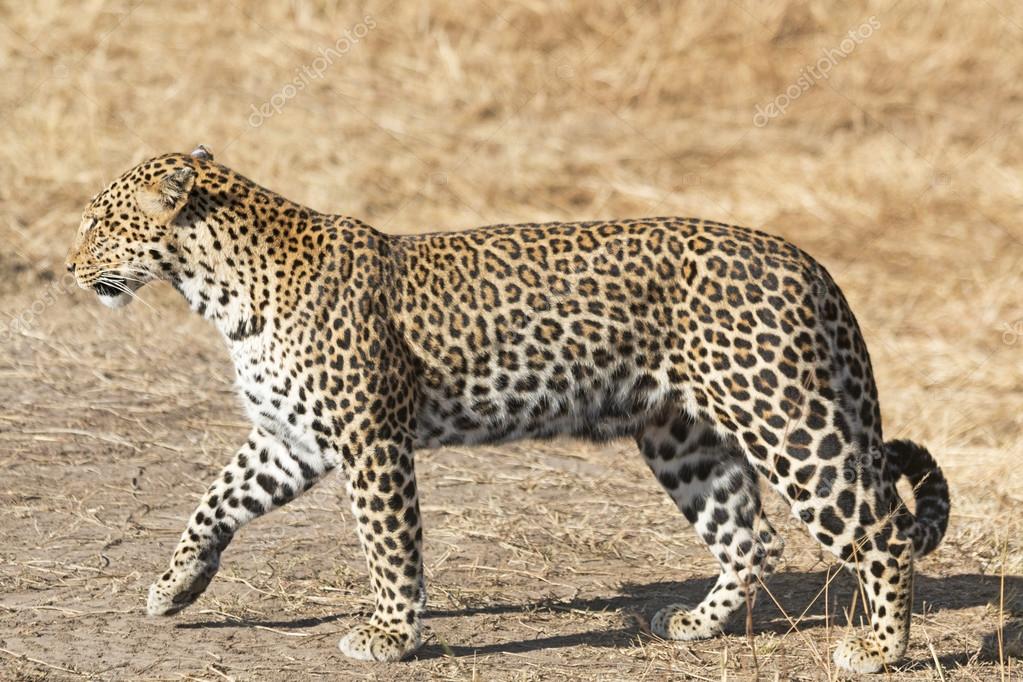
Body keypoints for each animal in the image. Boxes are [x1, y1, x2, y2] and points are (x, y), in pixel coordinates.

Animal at [65, 145, 950, 674]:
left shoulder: (370, 439)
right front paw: (174, 588)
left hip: (784, 418)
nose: (70, 269)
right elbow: (213, 501)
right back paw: (696, 625)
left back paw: (878, 649)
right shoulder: (292, 438)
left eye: (101, 223)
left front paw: (389, 635)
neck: (218, 289)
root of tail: (805, 260)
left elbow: (390, 548)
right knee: (751, 538)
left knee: (879, 533)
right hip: (682, 437)